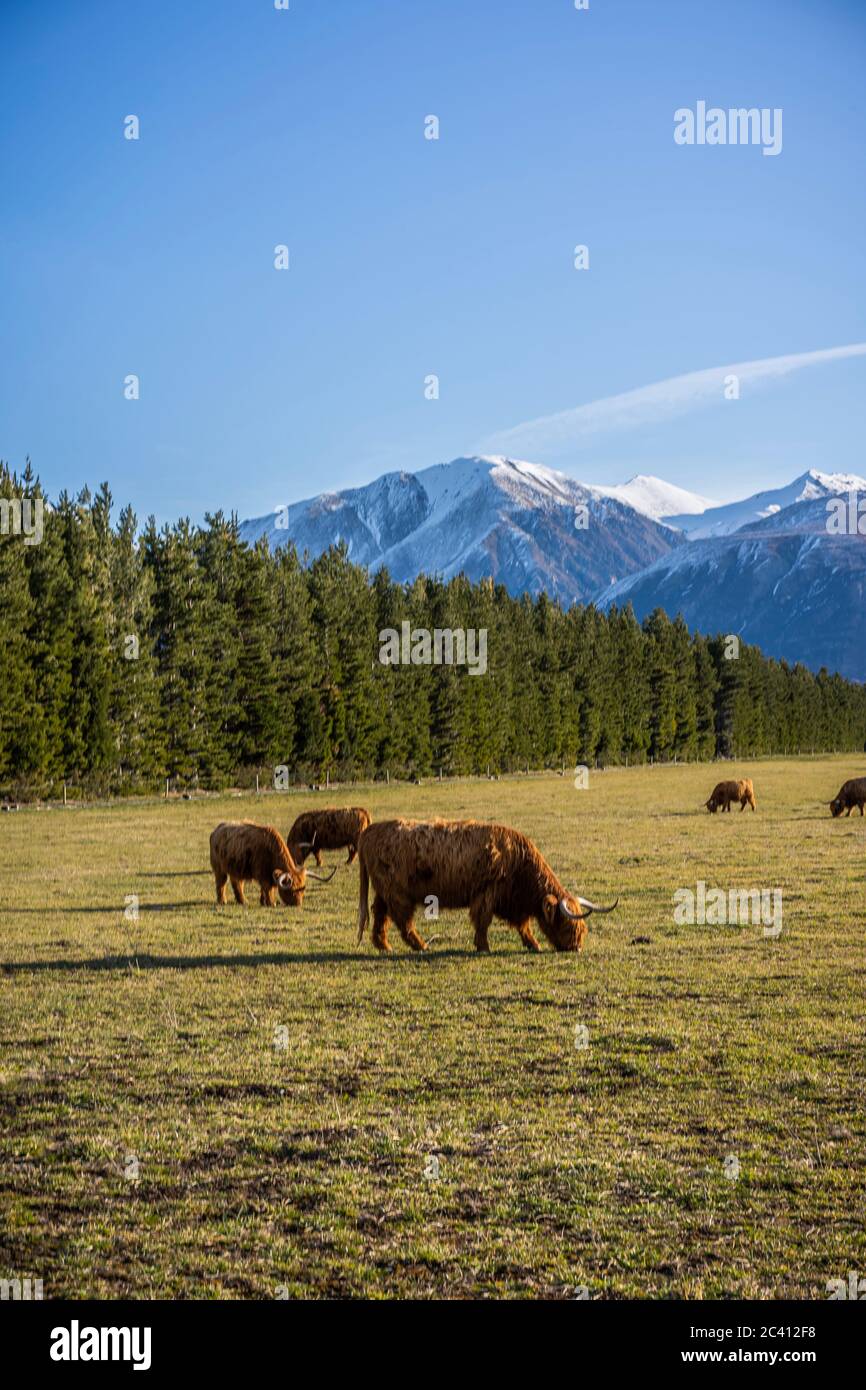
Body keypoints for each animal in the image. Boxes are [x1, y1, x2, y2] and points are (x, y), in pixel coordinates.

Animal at [356, 817, 617, 954]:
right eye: (565, 924)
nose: (576, 946)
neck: (520, 864)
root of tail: (370, 831)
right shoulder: (488, 893)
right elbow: (483, 921)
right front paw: (484, 947)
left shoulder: (512, 902)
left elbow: (523, 925)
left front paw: (533, 944)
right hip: (397, 893)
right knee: (402, 920)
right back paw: (420, 945)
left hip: (384, 891)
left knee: (380, 914)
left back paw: (384, 945)